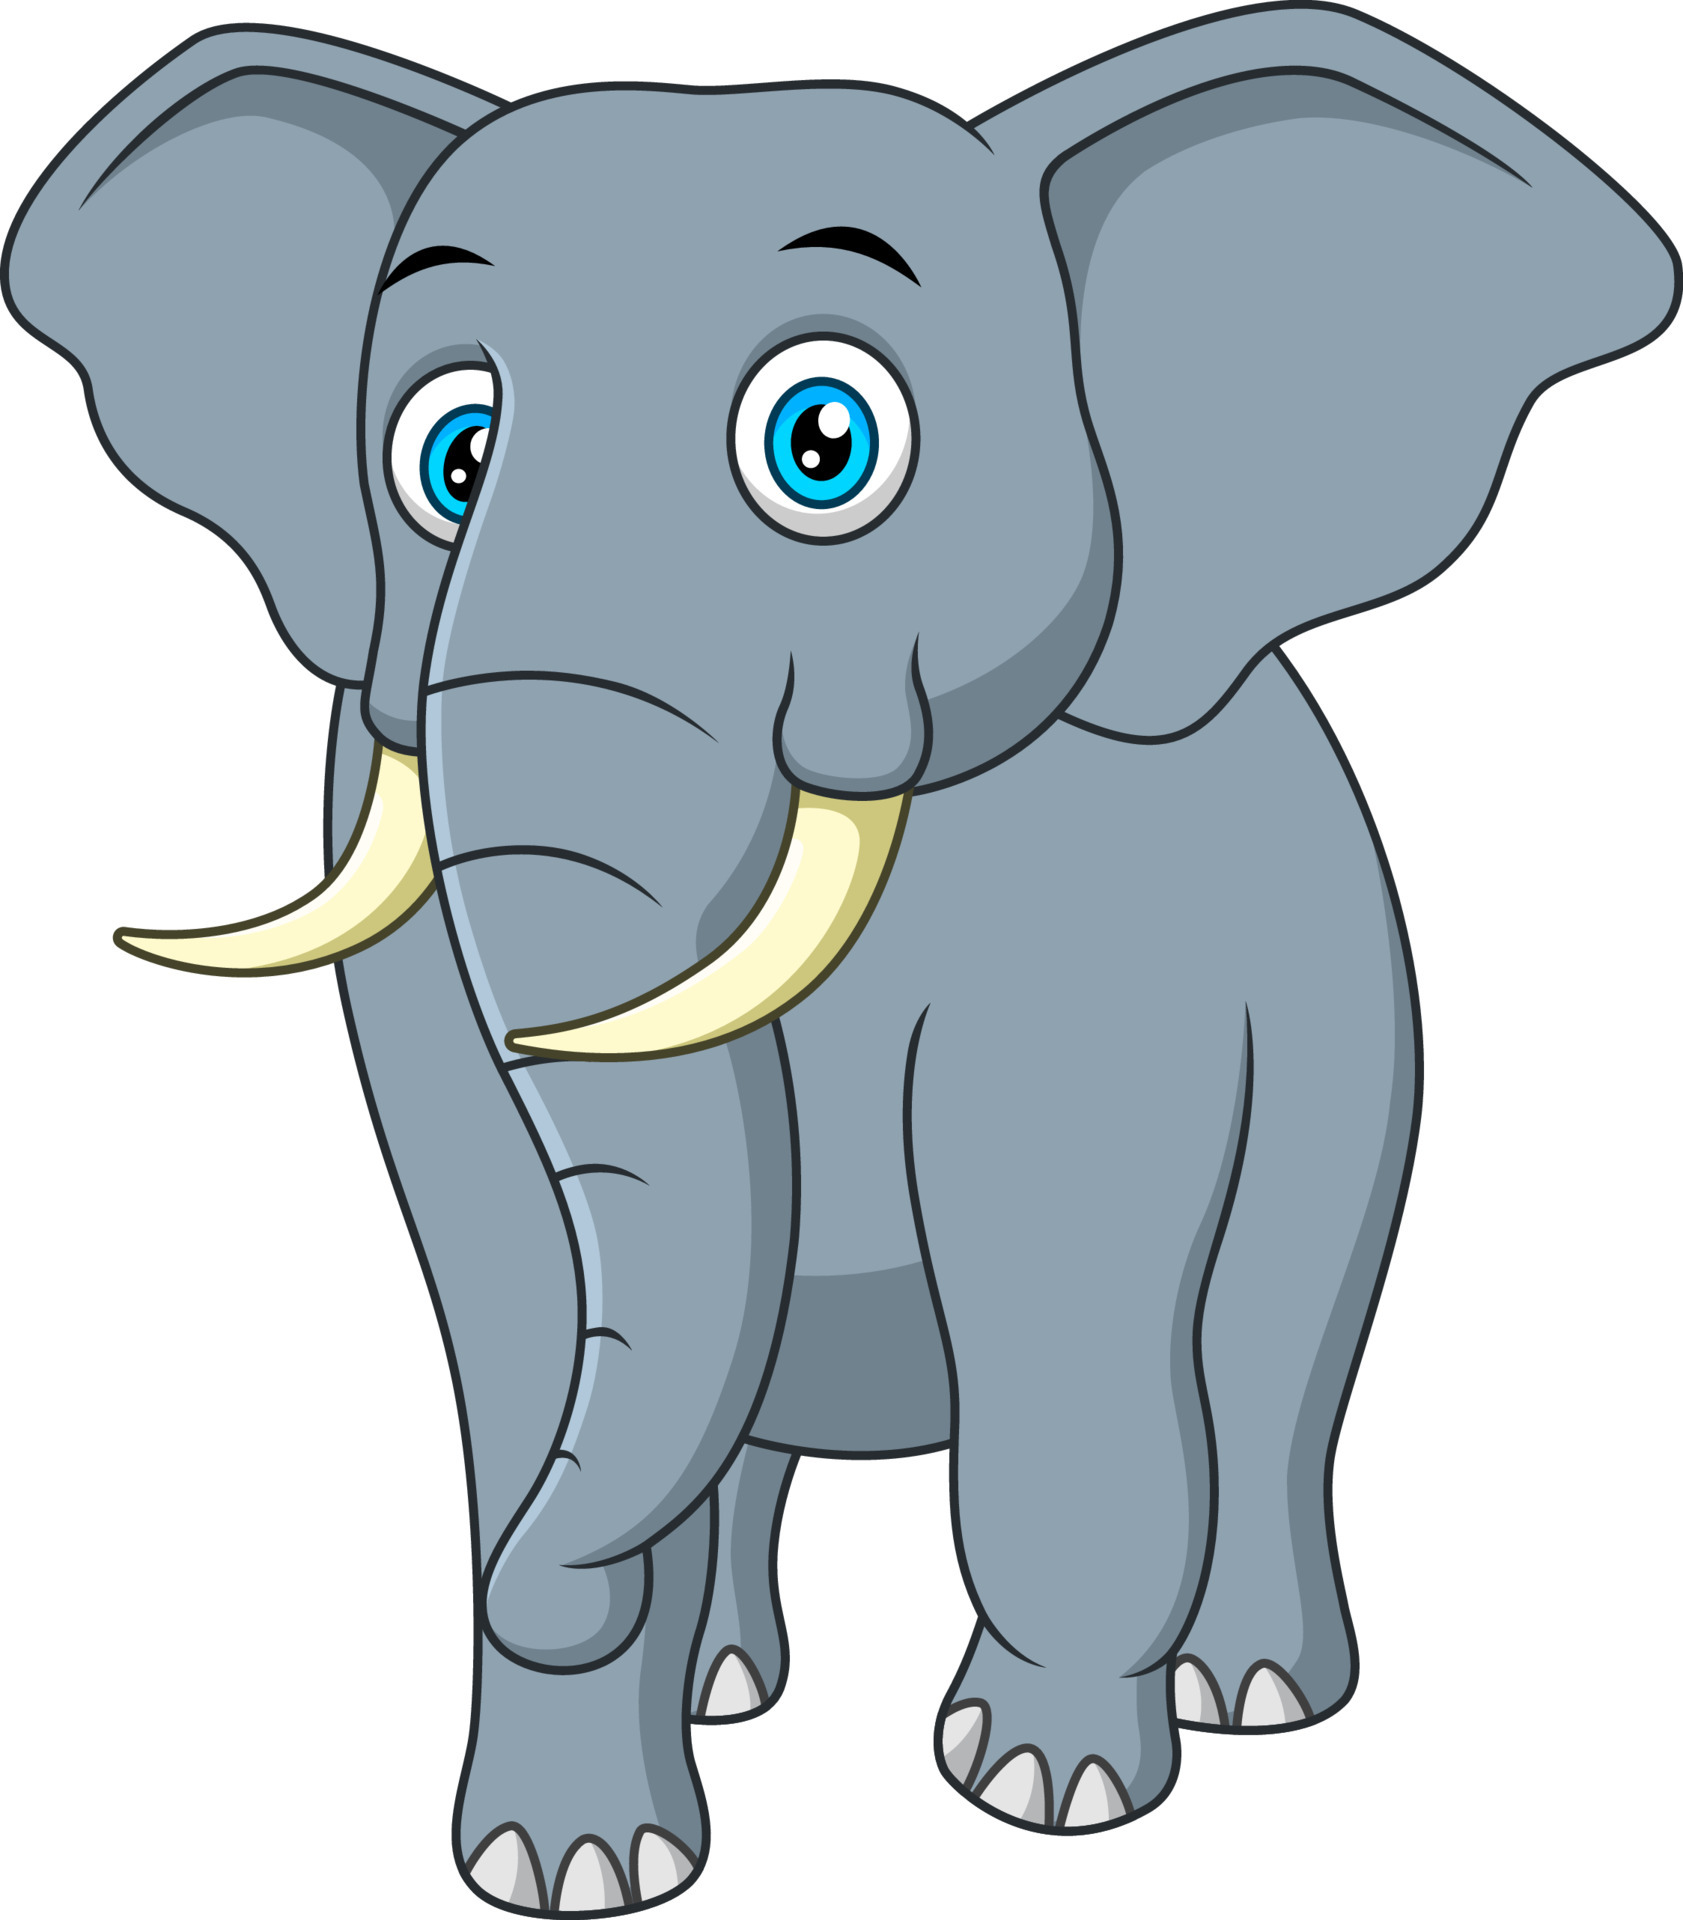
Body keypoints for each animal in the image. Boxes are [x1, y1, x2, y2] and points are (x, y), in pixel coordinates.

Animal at [5, 6, 1675, 1912]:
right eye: (450, 458)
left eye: (822, 445)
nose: (543, 1592)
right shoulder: (395, 823)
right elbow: (511, 1265)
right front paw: (565, 1865)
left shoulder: (1104, 900)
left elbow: (1068, 1245)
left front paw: (1041, 1790)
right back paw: (727, 1682)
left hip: (1358, 1031)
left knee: (1271, 1354)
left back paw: (1243, 1687)